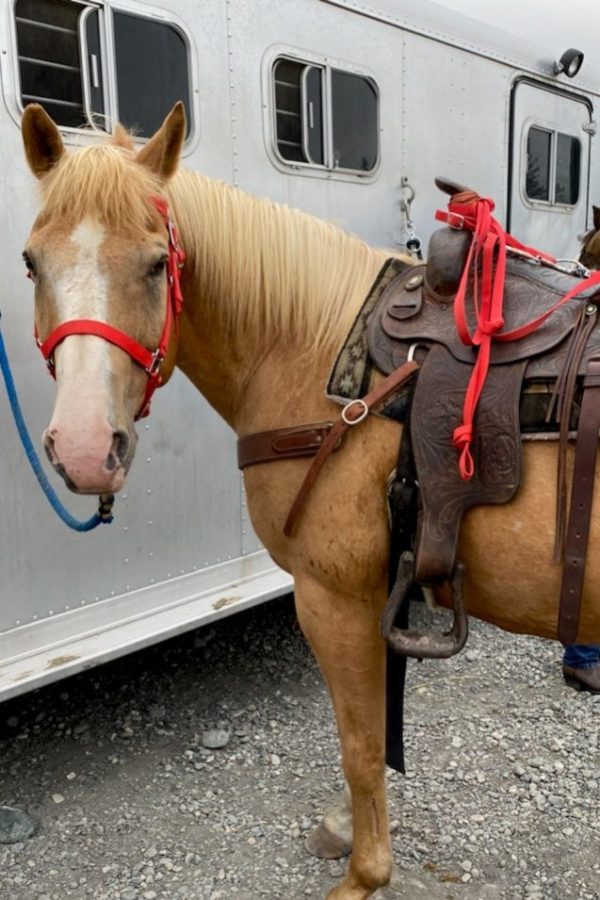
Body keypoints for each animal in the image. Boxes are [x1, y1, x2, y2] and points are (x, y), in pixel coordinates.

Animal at [19, 102, 600, 900]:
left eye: (157, 264)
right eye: (30, 262)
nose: (82, 448)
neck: (316, 354)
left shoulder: (334, 598)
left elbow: (359, 744)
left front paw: (364, 873)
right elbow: (375, 735)